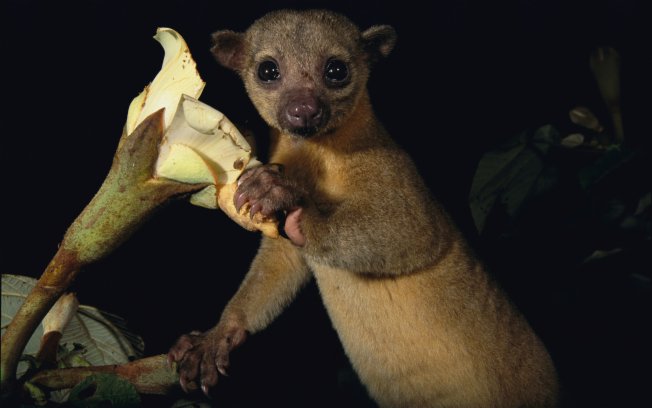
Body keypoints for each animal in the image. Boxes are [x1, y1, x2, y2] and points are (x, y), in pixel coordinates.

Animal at [167, 9, 559, 408]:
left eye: (336, 70)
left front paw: (283, 195)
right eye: (267, 70)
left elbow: (412, 232)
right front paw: (218, 335)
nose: (303, 109)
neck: (315, 155)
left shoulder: (387, 167)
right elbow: (282, 262)